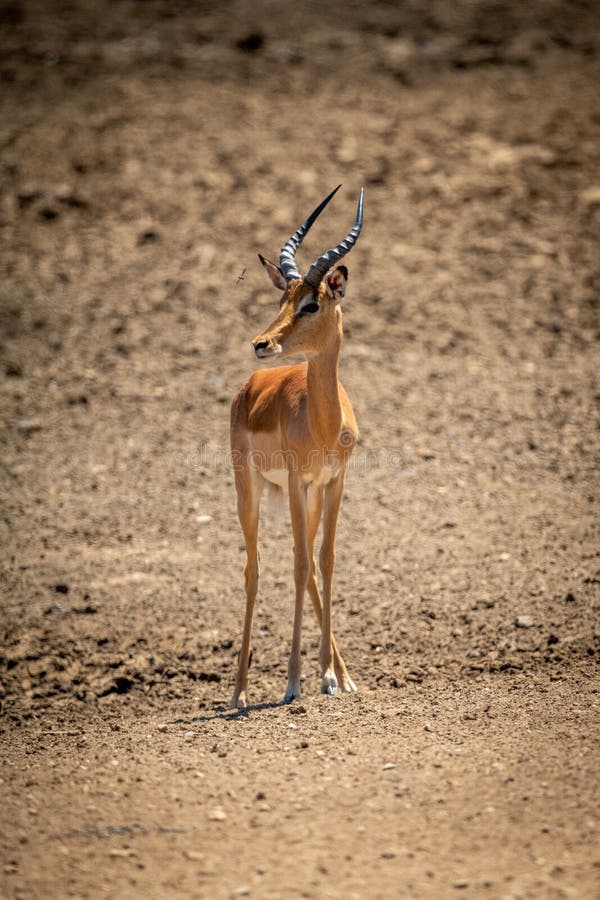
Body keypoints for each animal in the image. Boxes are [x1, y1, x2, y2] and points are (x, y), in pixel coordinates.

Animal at [230, 185, 364, 708]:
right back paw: (240, 694)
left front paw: (333, 676)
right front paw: (293, 680)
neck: (322, 422)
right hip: (250, 488)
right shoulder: (294, 480)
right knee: (255, 569)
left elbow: (324, 560)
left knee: (306, 561)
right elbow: (299, 565)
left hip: (305, 495)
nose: (261, 343)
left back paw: (336, 674)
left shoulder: (334, 481)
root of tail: (250, 387)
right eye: (283, 297)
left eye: (311, 304)